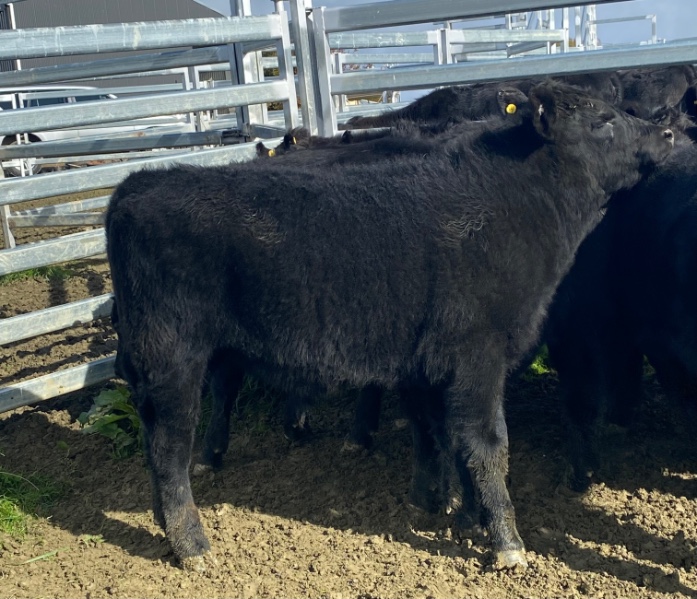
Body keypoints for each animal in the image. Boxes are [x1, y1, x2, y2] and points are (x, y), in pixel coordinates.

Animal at [105, 81, 674, 572]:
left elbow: (443, 436)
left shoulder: (428, 363)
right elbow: (488, 444)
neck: (512, 205)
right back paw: (192, 543)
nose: (667, 132)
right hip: (171, 362)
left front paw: (455, 511)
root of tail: (138, 185)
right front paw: (506, 541)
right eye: (603, 121)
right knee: (168, 449)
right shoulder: (478, 356)